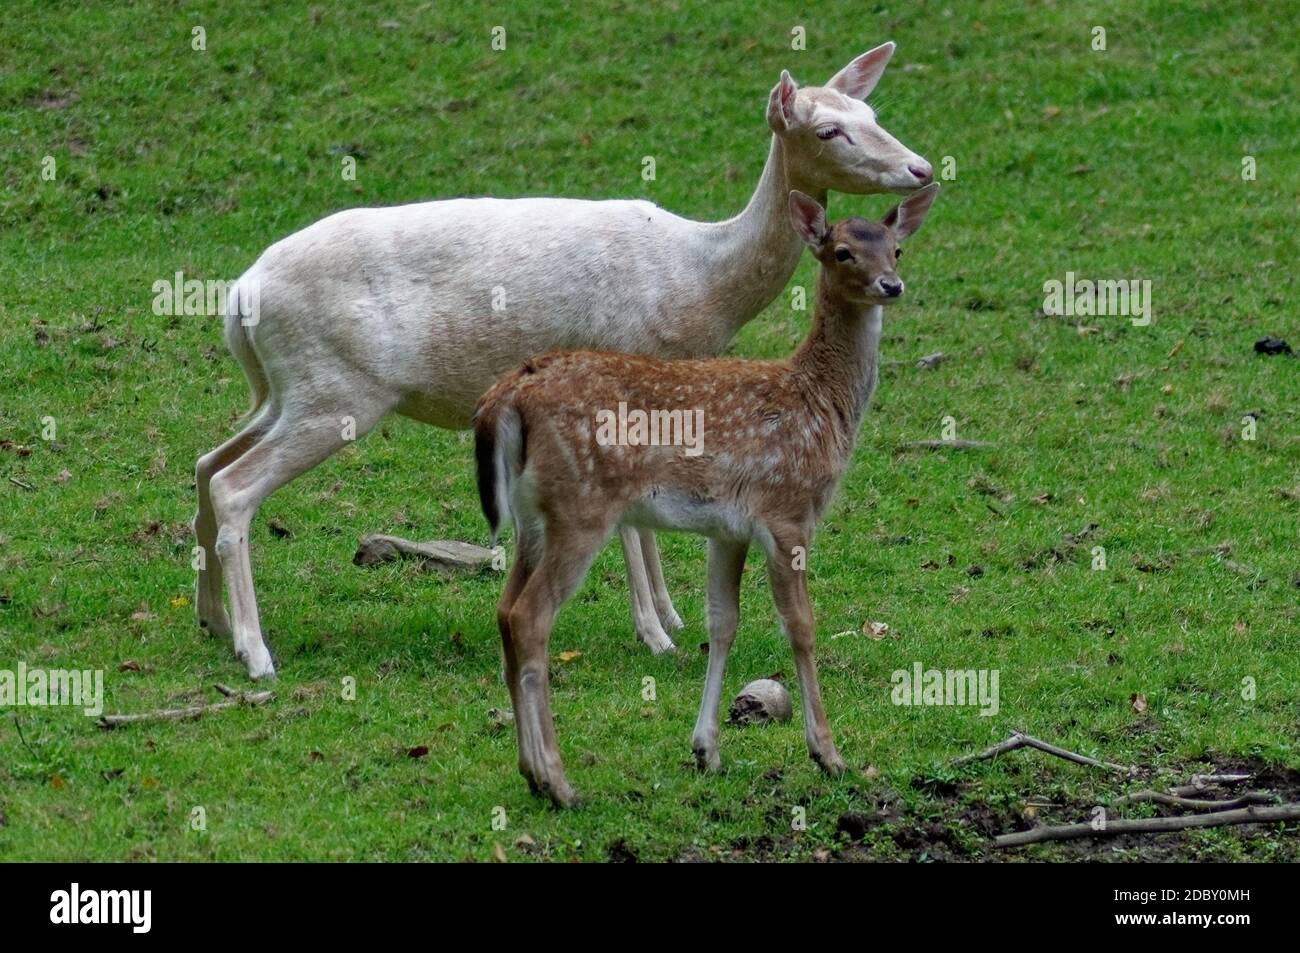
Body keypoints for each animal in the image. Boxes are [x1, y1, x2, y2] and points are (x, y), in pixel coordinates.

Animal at [195, 43, 932, 680]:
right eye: (829, 130)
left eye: (872, 114)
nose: (922, 169)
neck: (699, 284)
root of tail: (240, 295)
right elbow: (630, 523)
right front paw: (656, 633)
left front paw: (670, 617)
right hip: (336, 392)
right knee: (235, 485)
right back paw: (257, 654)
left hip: (285, 390)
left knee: (207, 461)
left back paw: (214, 625)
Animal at [474, 183, 940, 806]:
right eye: (842, 251)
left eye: (896, 248)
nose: (891, 284)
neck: (819, 407)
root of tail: (508, 394)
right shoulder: (787, 512)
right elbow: (801, 626)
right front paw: (828, 753)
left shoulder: (729, 530)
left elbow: (722, 623)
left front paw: (706, 750)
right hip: (581, 506)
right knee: (531, 617)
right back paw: (559, 782)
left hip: (532, 518)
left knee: (505, 611)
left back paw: (530, 773)